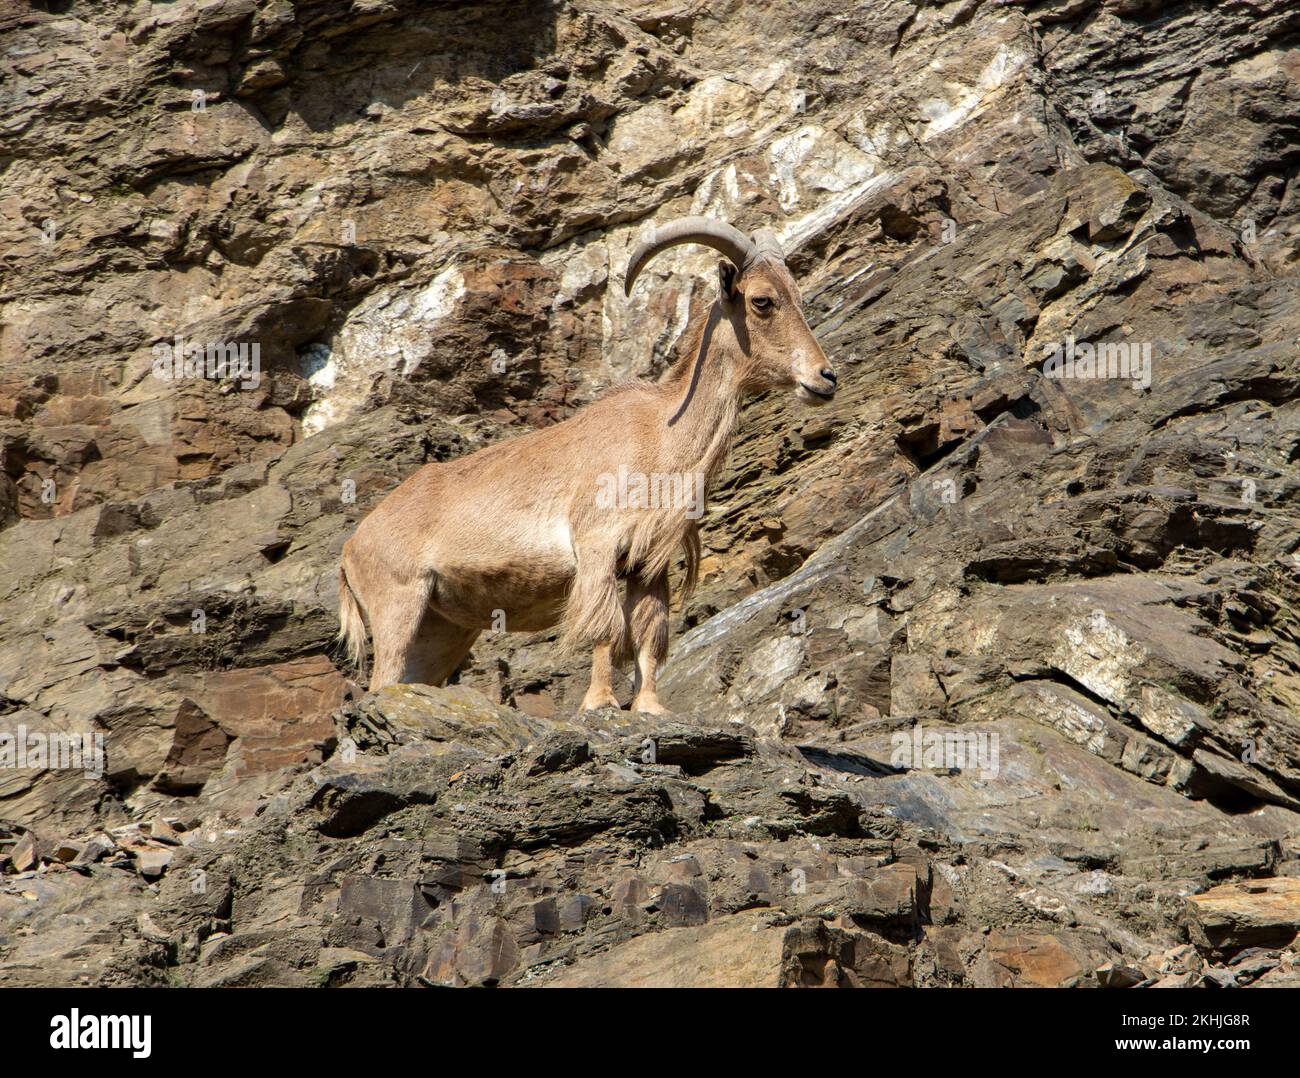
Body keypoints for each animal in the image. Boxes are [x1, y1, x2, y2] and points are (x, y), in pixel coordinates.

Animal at [337, 216, 837, 713]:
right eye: (762, 301)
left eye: (798, 297)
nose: (825, 377)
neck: (658, 434)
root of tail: (351, 548)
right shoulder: (597, 545)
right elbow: (606, 628)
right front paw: (600, 701)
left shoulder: (647, 564)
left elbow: (648, 633)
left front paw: (649, 706)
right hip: (398, 603)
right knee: (381, 679)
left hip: (443, 628)